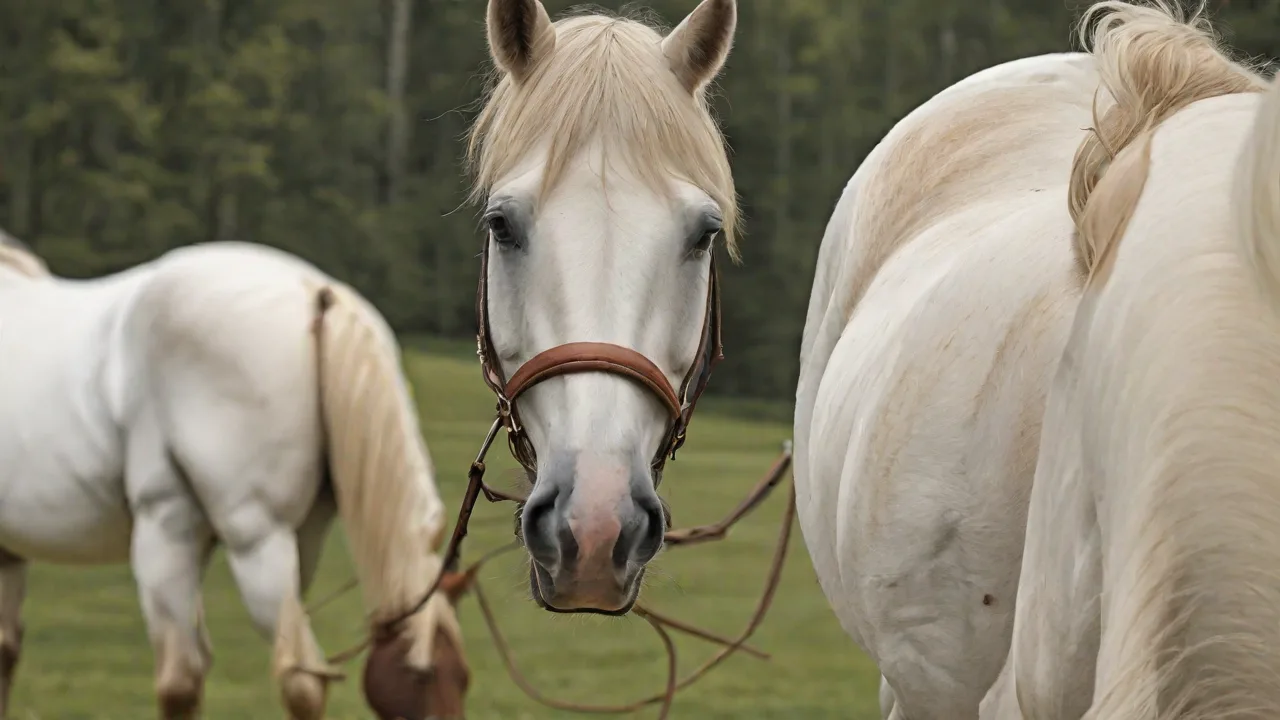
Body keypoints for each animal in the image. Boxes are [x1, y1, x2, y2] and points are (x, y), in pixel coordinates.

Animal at [0, 237, 469, 720]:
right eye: (421, 678)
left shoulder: (165, 535)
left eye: (462, 678)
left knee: (296, 676)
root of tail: (312, 290)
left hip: (250, 545)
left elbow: (178, 682)